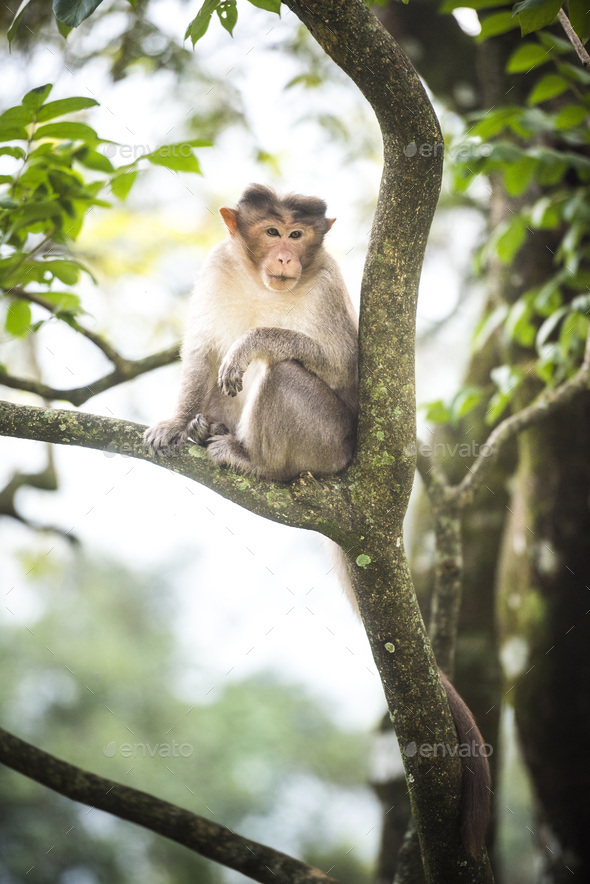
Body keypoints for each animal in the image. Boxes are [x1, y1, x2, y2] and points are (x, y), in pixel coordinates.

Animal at [143, 183, 359, 482]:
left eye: (296, 235)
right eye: (272, 232)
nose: (285, 257)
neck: (261, 283)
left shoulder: (329, 284)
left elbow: (344, 366)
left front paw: (249, 344)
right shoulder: (217, 263)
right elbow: (202, 350)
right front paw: (177, 423)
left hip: (327, 443)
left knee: (283, 374)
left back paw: (257, 462)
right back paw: (206, 429)